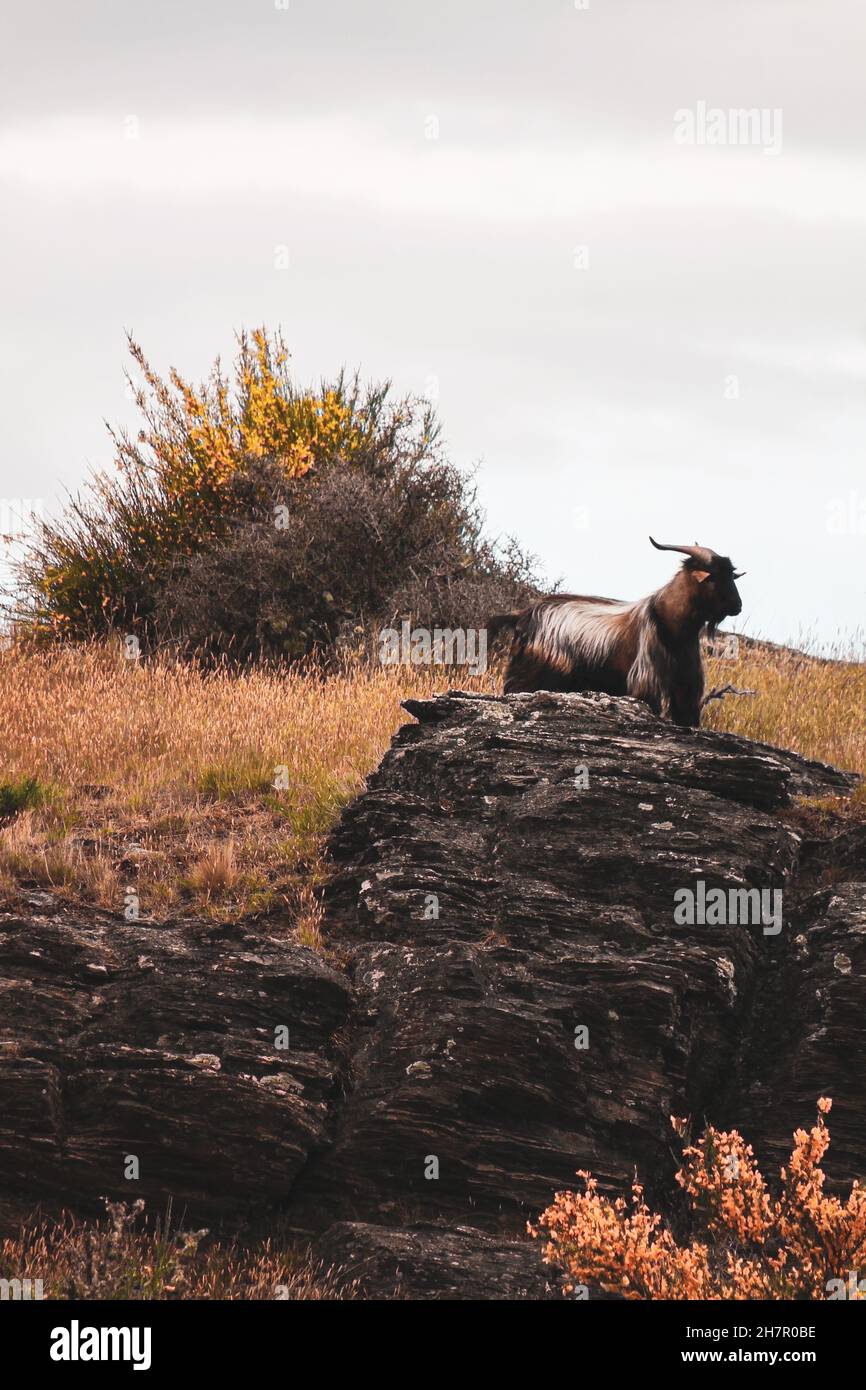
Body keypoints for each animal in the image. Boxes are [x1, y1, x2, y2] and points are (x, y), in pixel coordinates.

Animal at [488, 538, 745, 727]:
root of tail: (523, 615)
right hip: (532, 673)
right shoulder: (646, 682)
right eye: (714, 576)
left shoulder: (685, 686)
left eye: (731, 574)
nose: (738, 606)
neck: (670, 624)